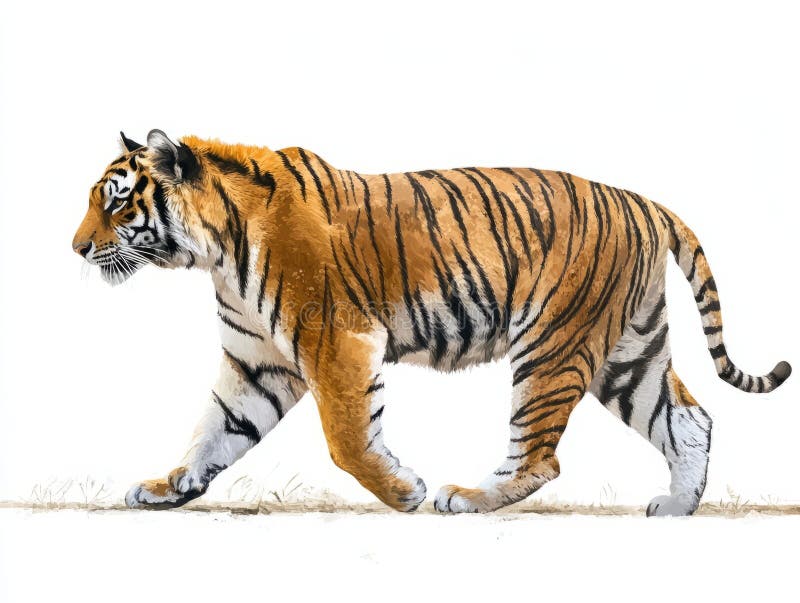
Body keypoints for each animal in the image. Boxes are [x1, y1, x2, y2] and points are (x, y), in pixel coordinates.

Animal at [73, 130, 792, 516]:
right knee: (689, 420)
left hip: (553, 345)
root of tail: (642, 201)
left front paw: (404, 490)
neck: (214, 251)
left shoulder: (337, 339)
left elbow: (347, 438)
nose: (76, 249)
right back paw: (676, 507)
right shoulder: (258, 361)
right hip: (627, 350)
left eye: (118, 202)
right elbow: (217, 430)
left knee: (541, 453)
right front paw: (170, 486)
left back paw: (467, 495)